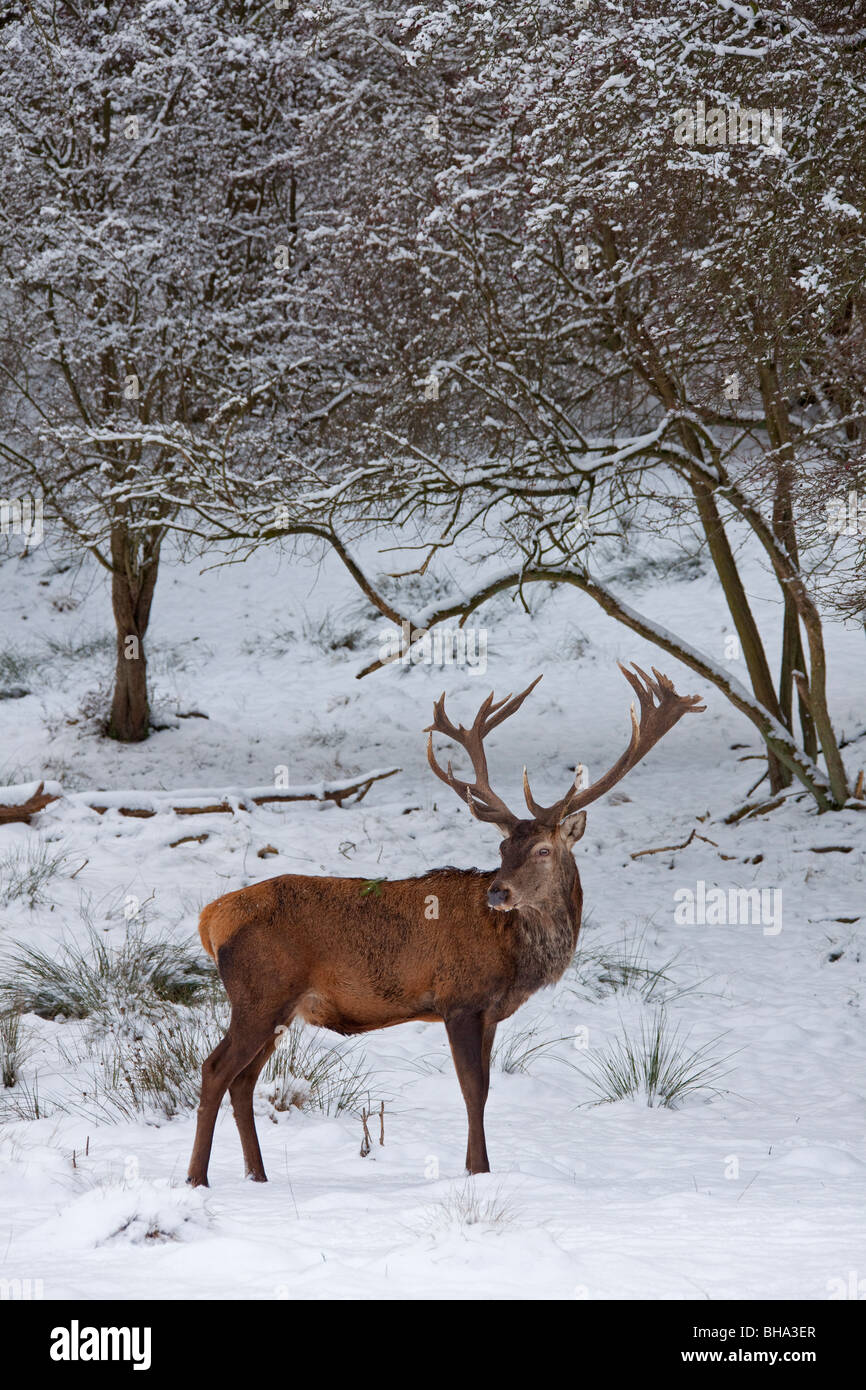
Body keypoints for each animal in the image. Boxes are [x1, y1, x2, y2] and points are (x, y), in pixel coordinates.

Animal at [187, 663, 704, 1187]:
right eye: (502, 848)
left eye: (542, 849)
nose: (498, 892)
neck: (515, 956)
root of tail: (212, 917)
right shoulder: (460, 1000)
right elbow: (473, 1091)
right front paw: (479, 1171)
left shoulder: (489, 1013)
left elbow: (486, 1088)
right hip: (259, 993)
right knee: (215, 1070)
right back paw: (197, 1179)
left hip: (281, 1008)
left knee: (243, 1082)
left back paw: (258, 1176)